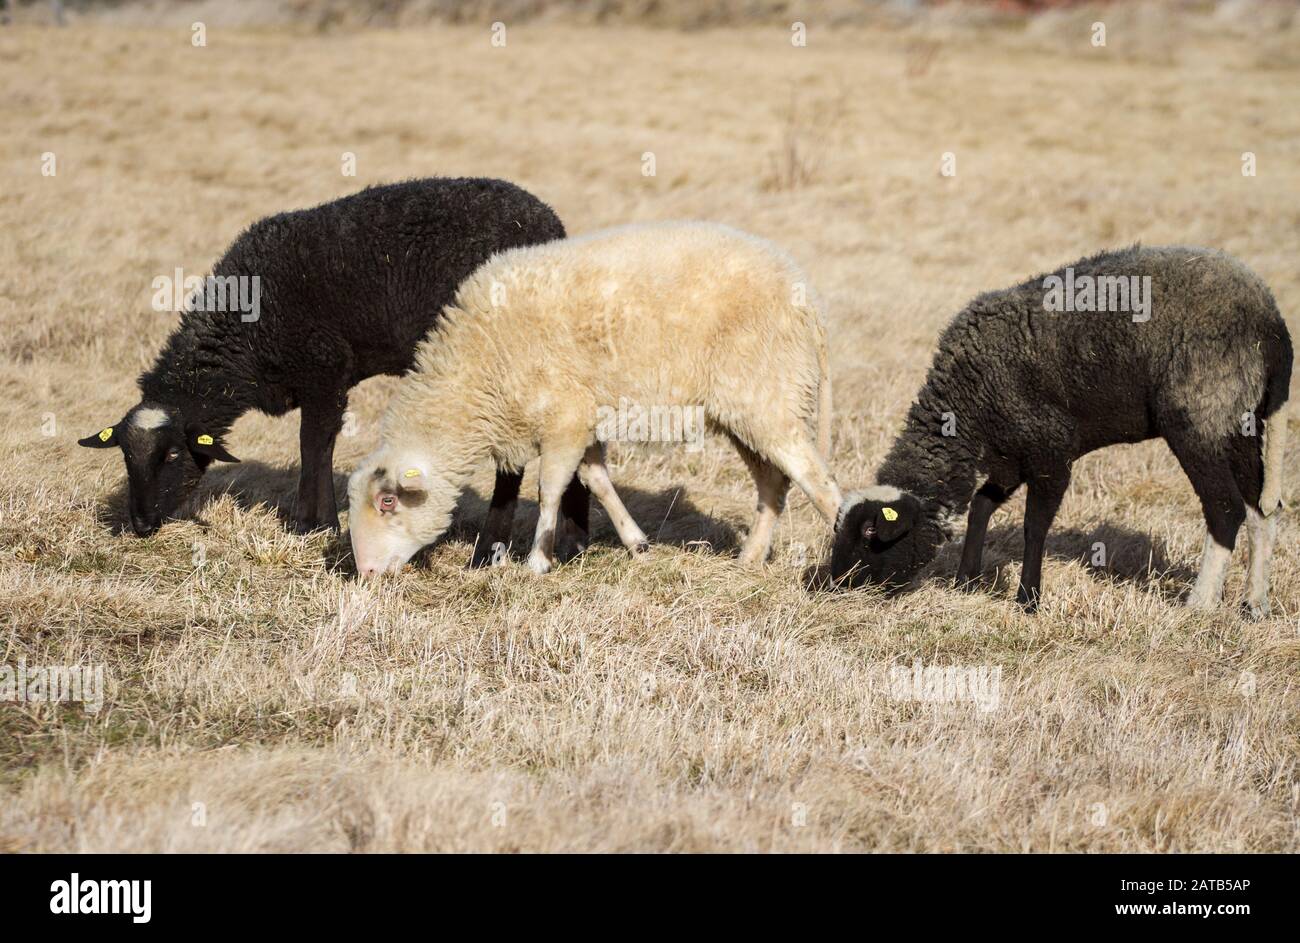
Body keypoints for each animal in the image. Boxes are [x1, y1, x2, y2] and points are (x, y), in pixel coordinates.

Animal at [77, 177, 589, 560]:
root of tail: (552, 224)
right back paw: (571, 544)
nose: (141, 525)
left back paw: (491, 550)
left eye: (172, 455)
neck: (244, 331)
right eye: (125, 456)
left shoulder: (324, 370)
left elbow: (314, 444)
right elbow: (319, 446)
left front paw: (313, 522)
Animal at [346, 221, 843, 577]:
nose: (366, 572)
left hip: (768, 396)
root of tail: (808, 301)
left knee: (818, 483)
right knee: (774, 484)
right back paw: (750, 558)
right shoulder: (579, 421)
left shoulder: (563, 419)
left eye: (387, 502)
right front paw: (637, 543)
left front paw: (538, 562)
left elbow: (550, 490)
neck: (476, 374)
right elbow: (597, 480)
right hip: (747, 409)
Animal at [829, 245, 1292, 617]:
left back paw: (1201, 604)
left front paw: (1028, 600)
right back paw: (1255, 604)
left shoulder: (1050, 453)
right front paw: (967, 581)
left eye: (870, 534)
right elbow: (981, 505)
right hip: (1240, 423)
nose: (834, 587)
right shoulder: (1010, 458)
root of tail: (1271, 323)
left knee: (1226, 508)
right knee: (1262, 509)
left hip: (1199, 419)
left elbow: (1035, 525)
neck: (967, 405)